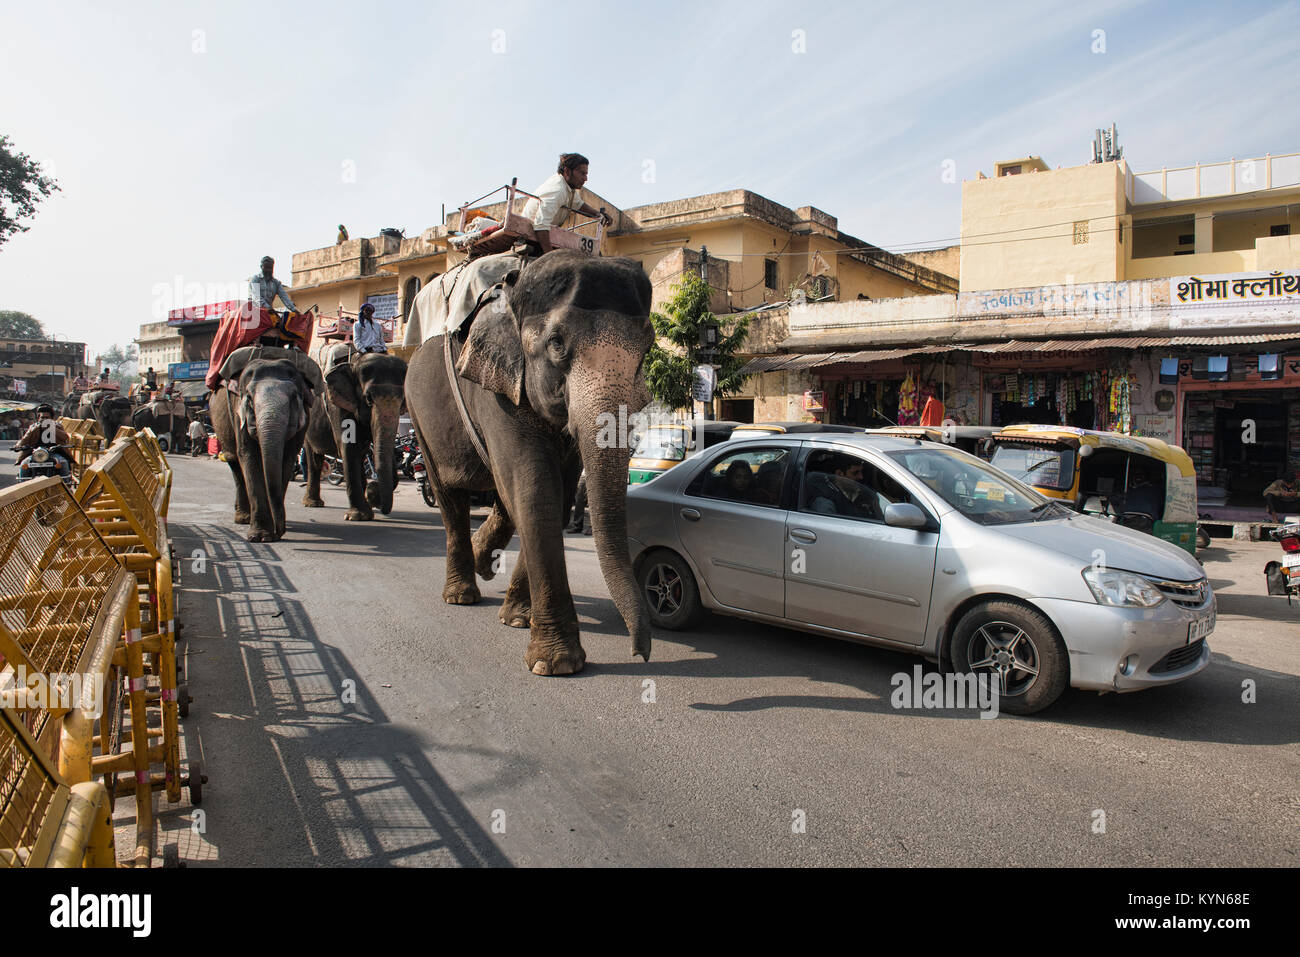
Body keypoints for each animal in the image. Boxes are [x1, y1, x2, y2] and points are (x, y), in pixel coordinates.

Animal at [209, 345, 324, 542]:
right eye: (248, 396)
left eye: (294, 397)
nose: (280, 531)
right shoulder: (238, 410)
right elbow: (248, 455)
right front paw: (261, 536)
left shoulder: (304, 418)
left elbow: (286, 458)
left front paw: (270, 533)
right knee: (235, 463)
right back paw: (243, 518)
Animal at [302, 349, 408, 520]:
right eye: (368, 399)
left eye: (403, 400)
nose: (383, 508)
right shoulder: (338, 406)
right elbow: (349, 449)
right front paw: (358, 516)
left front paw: (371, 496)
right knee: (314, 460)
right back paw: (313, 504)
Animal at [404, 249, 655, 676]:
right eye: (556, 343)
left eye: (647, 349)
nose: (640, 653)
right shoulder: (496, 388)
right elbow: (536, 489)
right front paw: (556, 664)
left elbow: (557, 493)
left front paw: (518, 619)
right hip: (418, 416)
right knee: (450, 498)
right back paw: (461, 594)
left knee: (502, 499)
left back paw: (483, 561)